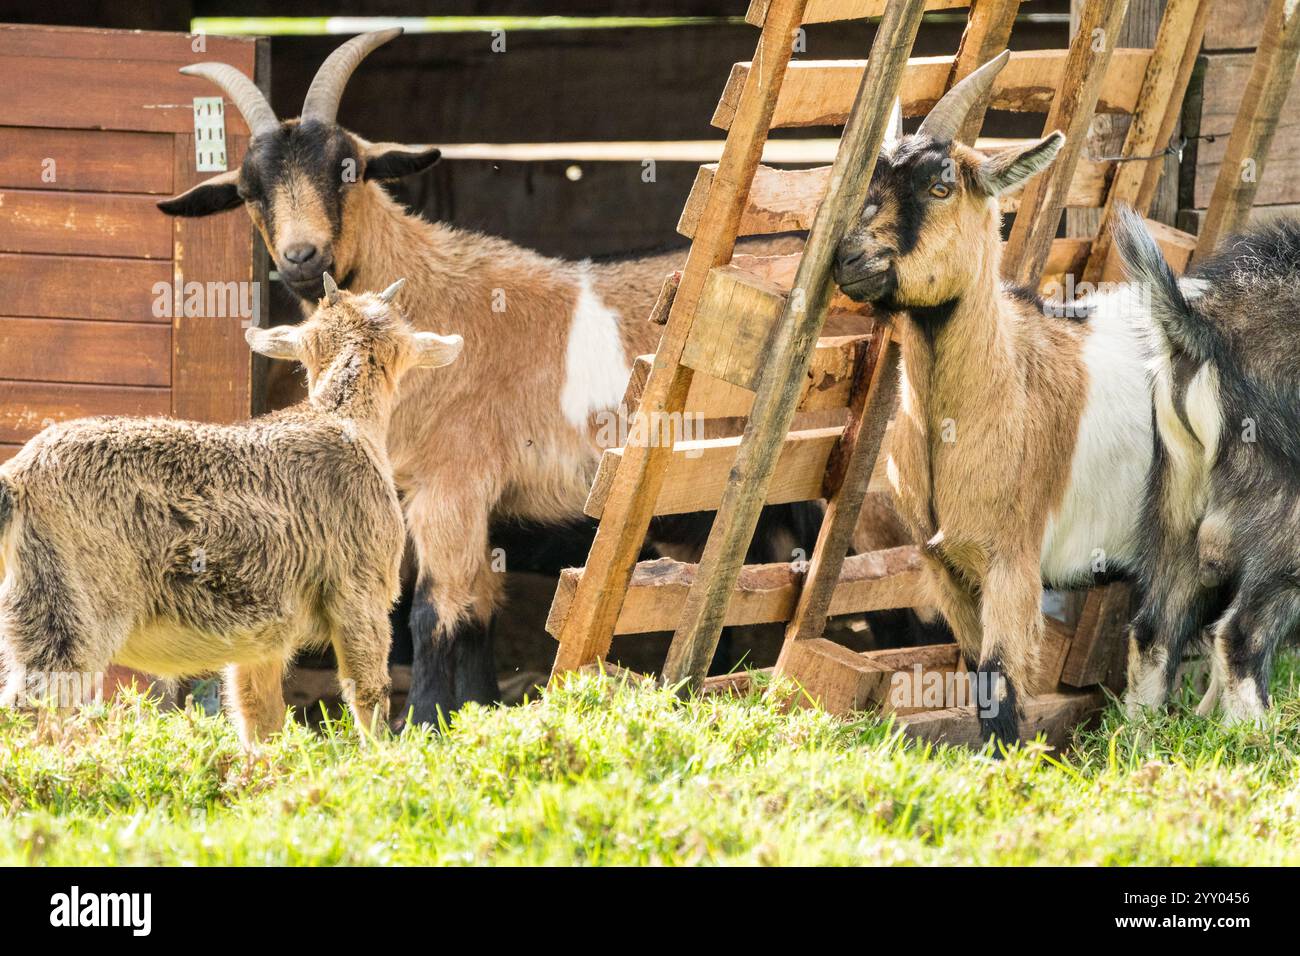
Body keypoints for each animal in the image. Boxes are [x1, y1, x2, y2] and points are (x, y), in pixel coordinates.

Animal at [0, 277, 463, 747]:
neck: (343, 420)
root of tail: (15, 480)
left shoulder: (262, 637)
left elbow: (258, 715)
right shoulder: (361, 590)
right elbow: (368, 694)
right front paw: (381, 754)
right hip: (67, 614)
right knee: (27, 708)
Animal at [158, 28, 869, 724]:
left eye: (347, 169)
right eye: (248, 192)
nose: (303, 258)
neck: (430, 297)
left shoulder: (452, 484)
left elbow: (433, 612)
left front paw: (425, 722)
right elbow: (475, 613)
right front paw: (473, 710)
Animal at [831, 52, 1160, 745]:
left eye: (940, 187)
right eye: (872, 179)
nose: (852, 259)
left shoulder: (1012, 562)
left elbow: (1000, 685)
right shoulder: (943, 567)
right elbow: (975, 673)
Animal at [1114, 209, 1300, 723]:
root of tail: (1199, 331)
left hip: (1176, 500)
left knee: (1154, 633)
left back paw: (1143, 733)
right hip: (1286, 516)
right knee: (1238, 636)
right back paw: (1258, 734)